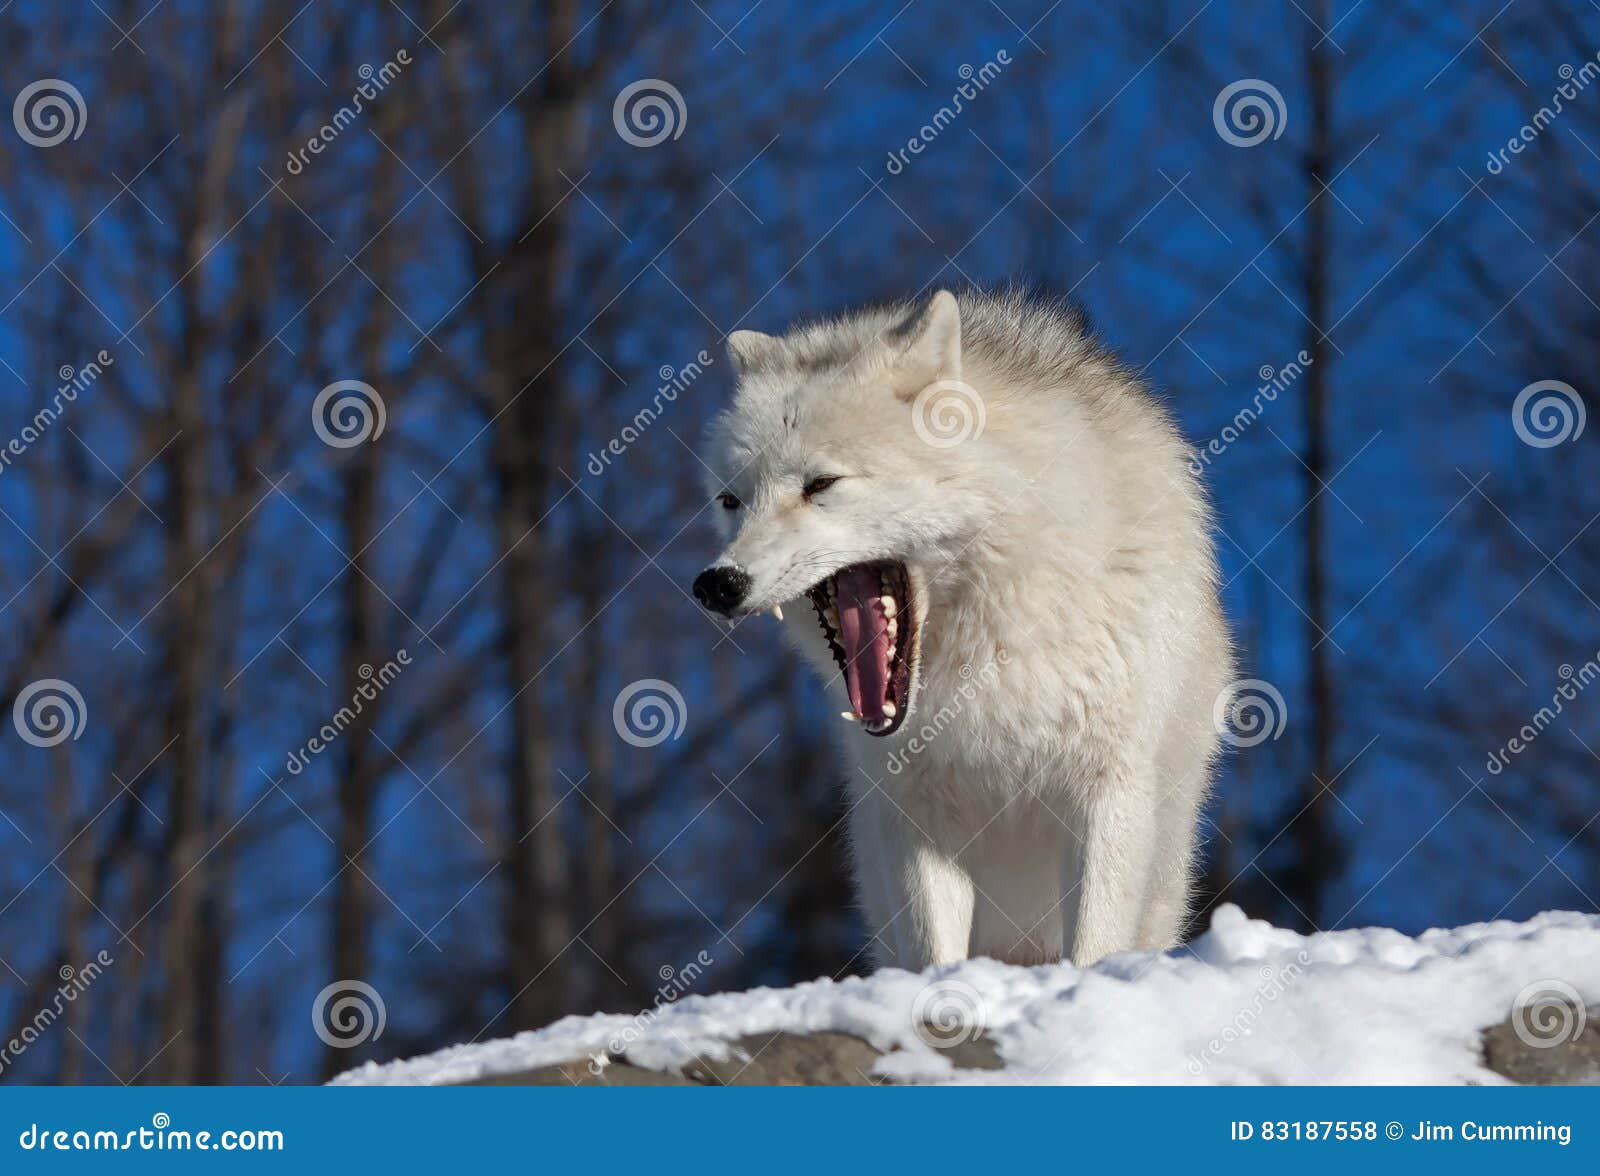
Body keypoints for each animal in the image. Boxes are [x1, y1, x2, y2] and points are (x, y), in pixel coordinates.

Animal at [693, 287, 1232, 970]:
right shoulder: (919, 817)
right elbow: (935, 954)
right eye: (731, 501)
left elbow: (1093, 944)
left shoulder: (1105, 791)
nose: (716, 583)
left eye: (822, 484)